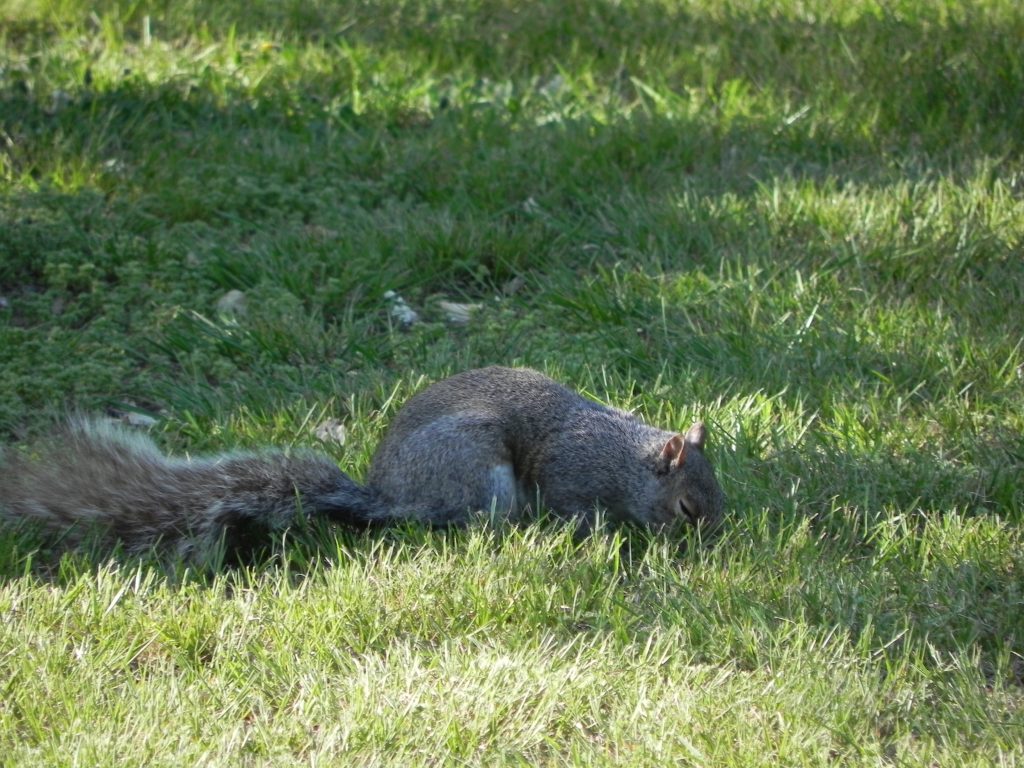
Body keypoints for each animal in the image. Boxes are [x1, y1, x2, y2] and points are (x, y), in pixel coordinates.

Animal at [0, 366, 725, 563]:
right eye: (689, 508)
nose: (713, 542)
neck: (626, 460)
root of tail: (386, 495)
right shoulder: (571, 473)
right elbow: (578, 507)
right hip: (478, 471)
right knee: (464, 521)